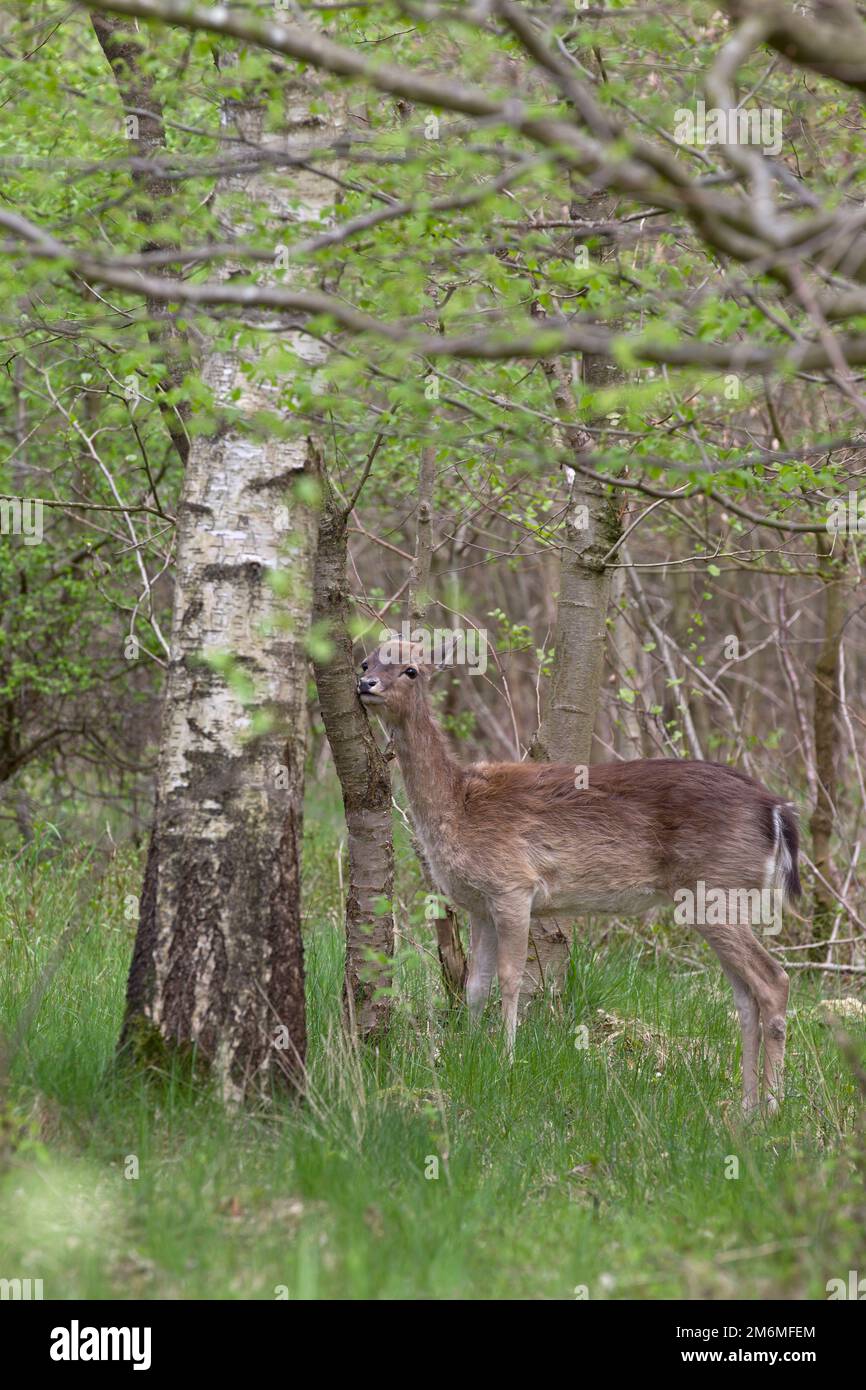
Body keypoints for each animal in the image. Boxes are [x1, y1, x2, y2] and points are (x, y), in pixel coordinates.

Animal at [358, 636, 800, 1116]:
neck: (459, 805)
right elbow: (475, 984)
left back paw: (773, 1107)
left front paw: (506, 1060)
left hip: (716, 888)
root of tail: (776, 809)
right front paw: (468, 1053)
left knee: (773, 980)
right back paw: (746, 1108)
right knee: (745, 996)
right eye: (365, 660)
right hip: (723, 898)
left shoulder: (513, 885)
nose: (366, 684)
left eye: (412, 670)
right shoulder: (479, 904)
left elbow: (511, 979)